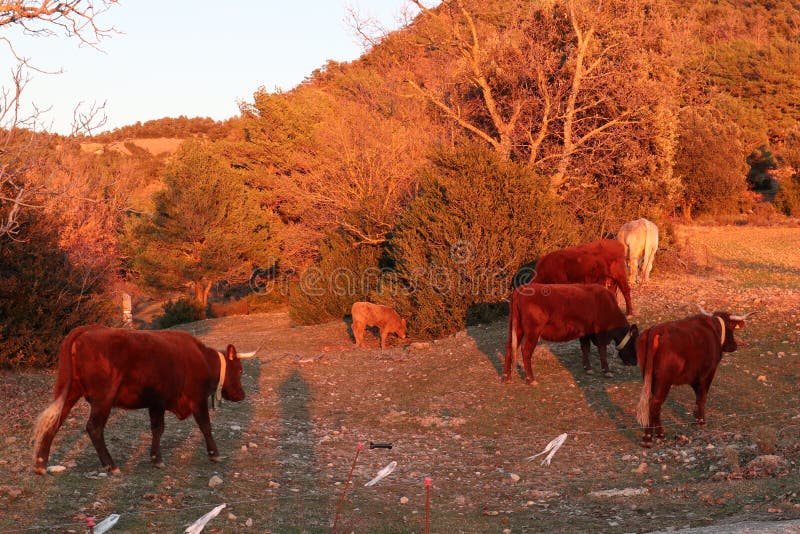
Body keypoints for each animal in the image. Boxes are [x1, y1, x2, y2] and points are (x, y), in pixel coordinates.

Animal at [32, 325, 256, 475]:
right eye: (240, 370)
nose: (242, 395)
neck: (203, 359)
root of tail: (88, 330)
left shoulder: (156, 403)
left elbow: (157, 429)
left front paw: (156, 458)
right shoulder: (197, 400)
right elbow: (205, 426)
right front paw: (214, 453)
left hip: (69, 392)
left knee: (54, 422)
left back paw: (41, 464)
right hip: (103, 398)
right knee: (94, 428)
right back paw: (111, 465)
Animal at [504, 283, 639, 384]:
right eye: (634, 344)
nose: (635, 363)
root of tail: (521, 289)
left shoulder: (585, 332)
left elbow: (585, 348)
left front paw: (588, 368)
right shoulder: (600, 333)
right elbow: (602, 351)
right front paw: (606, 371)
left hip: (516, 329)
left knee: (509, 348)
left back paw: (507, 377)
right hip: (533, 332)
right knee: (526, 350)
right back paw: (531, 379)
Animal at [635, 308, 754, 447]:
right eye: (731, 327)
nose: (734, 346)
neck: (713, 329)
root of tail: (657, 329)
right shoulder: (707, 374)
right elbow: (702, 397)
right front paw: (701, 421)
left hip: (650, 379)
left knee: (651, 404)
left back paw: (651, 436)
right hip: (664, 382)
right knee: (655, 404)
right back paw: (654, 436)